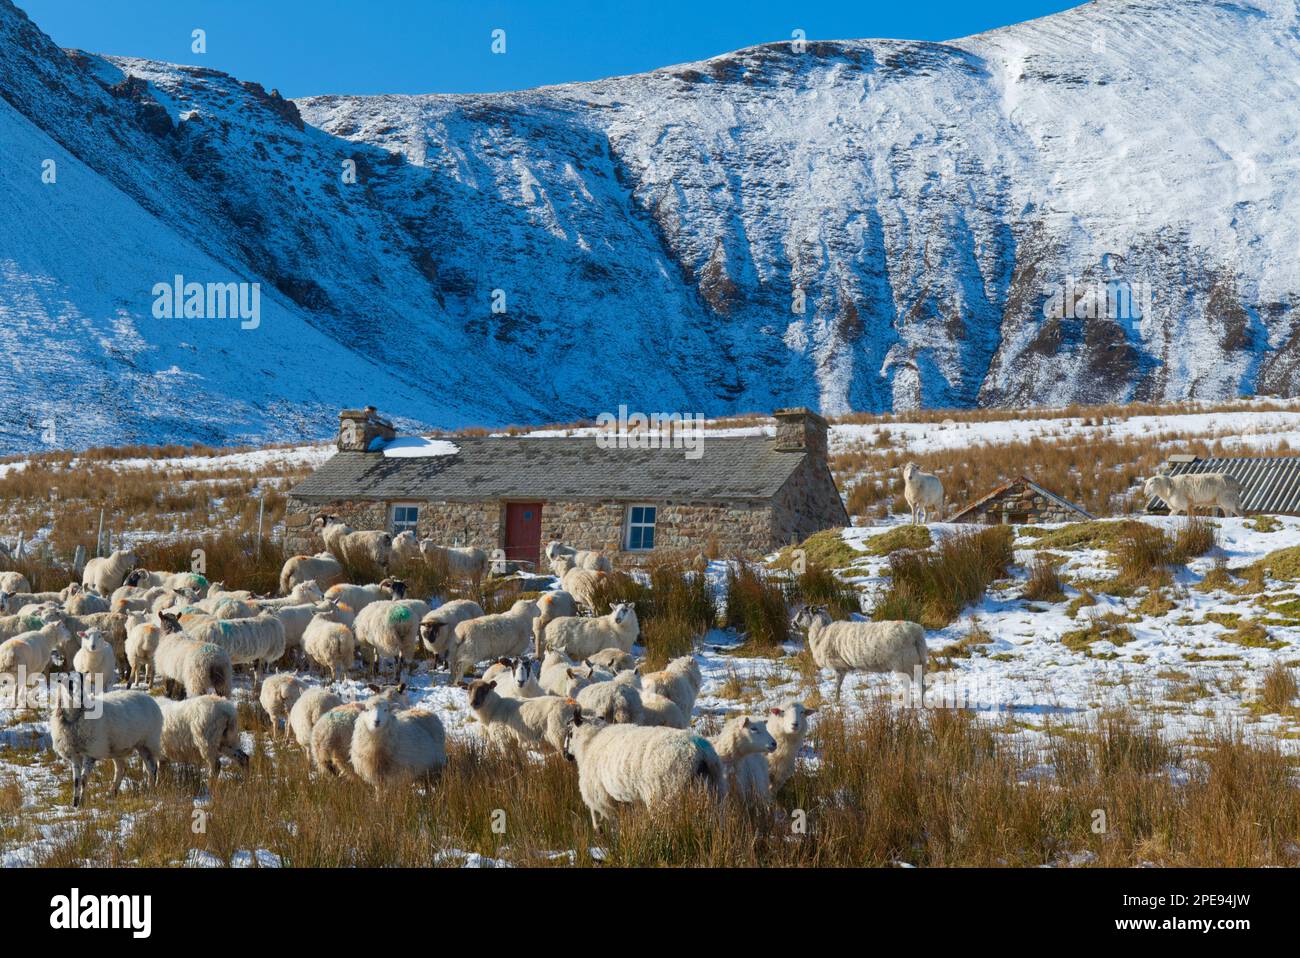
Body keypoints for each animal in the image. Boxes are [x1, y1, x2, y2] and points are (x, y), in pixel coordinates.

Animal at [49, 676, 163, 807]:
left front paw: (82, 802)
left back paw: (151, 792)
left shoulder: (91, 752)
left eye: (83, 683)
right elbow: (76, 780)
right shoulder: (74, 753)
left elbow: (83, 779)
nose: (81, 698)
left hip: (147, 742)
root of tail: (149, 698)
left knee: (152, 768)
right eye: (69, 684)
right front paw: (75, 803)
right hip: (119, 748)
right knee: (121, 769)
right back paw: (113, 793)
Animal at [561, 717, 725, 831]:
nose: (565, 754)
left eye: (569, 733)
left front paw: (599, 829)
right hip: (713, 790)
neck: (591, 741)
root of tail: (699, 750)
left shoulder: (598, 792)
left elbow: (597, 811)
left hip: (666, 794)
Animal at [793, 606, 927, 701]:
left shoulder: (838, 666)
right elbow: (839, 685)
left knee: (911, 686)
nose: (792, 623)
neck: (822, 631)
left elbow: (837, 685)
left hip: (903, 664)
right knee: (922, 685)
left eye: (801, 613)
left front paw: (836, 701)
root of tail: (916, 634)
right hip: (917, 662)